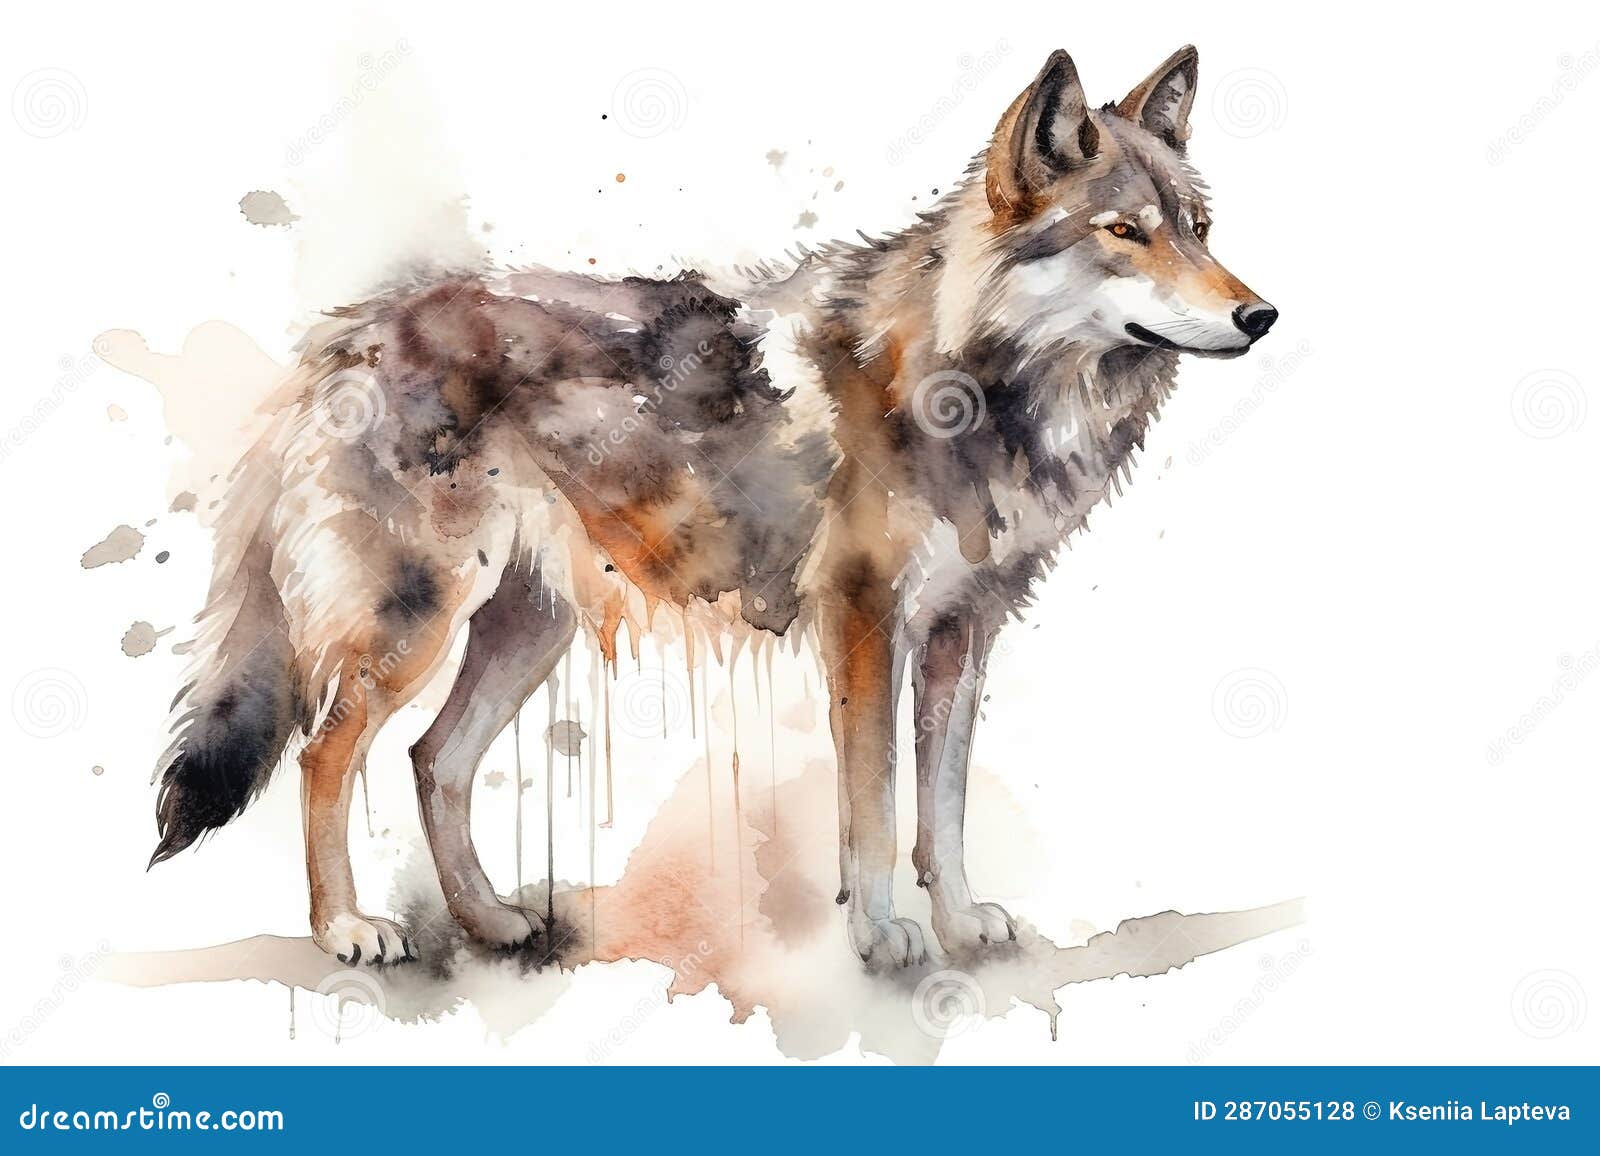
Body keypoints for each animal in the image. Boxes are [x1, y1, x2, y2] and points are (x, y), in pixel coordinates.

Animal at [149, 45, 1276, 967]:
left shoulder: (966, 630)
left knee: (435, 759)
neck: (976, 383)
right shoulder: (863, 625)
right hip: (415, 627)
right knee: (324, 753)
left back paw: (491, 921)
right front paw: (884, 939)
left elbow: (942, 808)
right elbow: (873, 810)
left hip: (526, 632)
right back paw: (347, 929)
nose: (1259, 315)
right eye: (1125, 233)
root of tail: (351, 331)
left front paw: (960, 924)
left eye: (1201, 231)